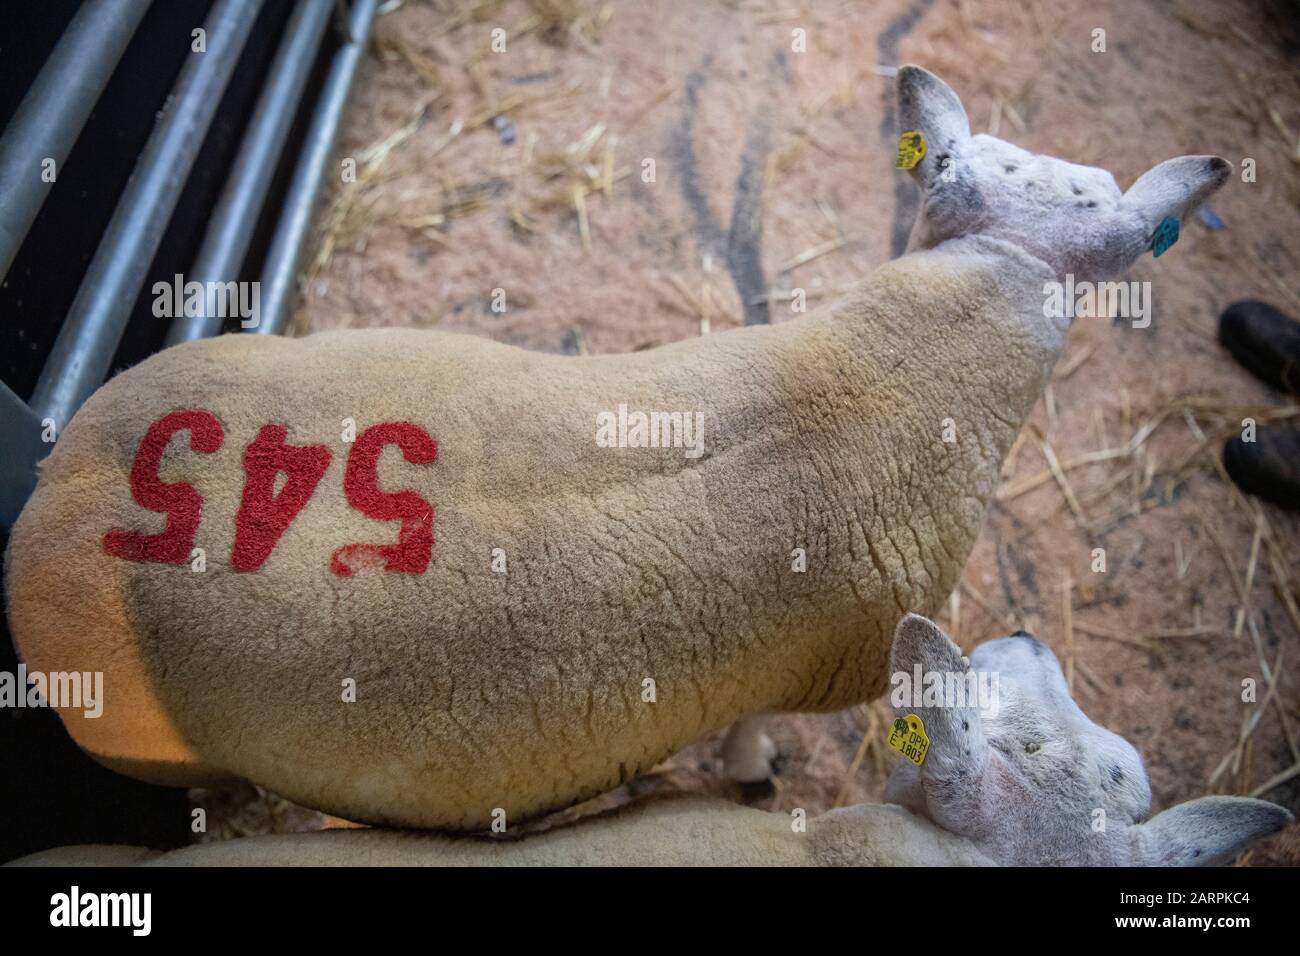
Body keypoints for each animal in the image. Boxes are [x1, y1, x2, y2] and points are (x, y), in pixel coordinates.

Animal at [4, 66, 1232, 830]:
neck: (885, 378)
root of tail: (56, 491)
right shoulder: (832, 649)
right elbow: (749, 727)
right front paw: (751, 774)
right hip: (159, 749)